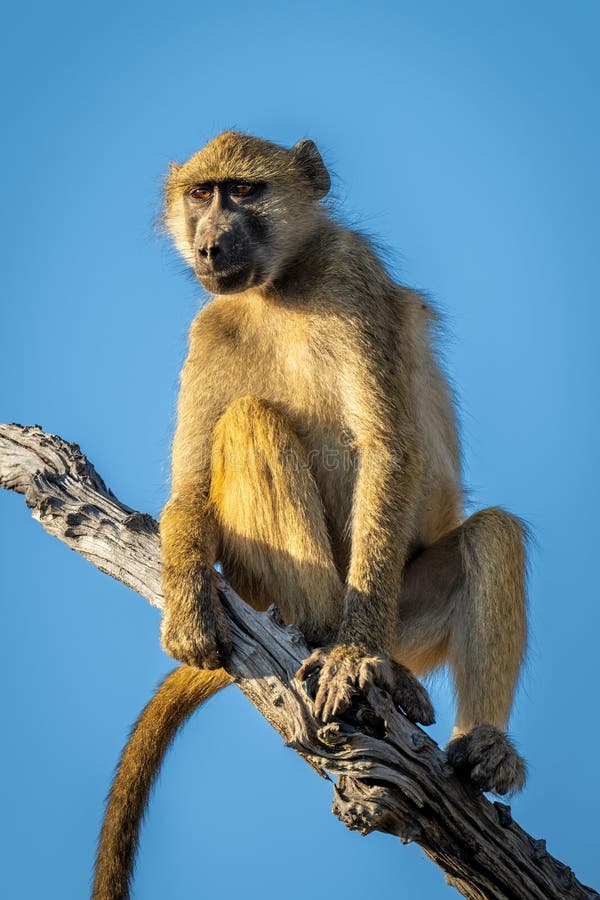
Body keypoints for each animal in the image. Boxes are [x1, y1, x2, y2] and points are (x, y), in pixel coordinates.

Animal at [92, 131, 528, 900]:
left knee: (494, 534)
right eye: (200, 194)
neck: (278, 289)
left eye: (243, 191)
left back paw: (455, 725)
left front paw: (354, 659)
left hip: (401, 613)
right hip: (283, 591)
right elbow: (190, 487)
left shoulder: (349, 270)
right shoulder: (208, 326)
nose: (210, 245)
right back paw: (324, 641)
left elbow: (388, 447)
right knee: (250, 420)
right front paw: (187, 610)